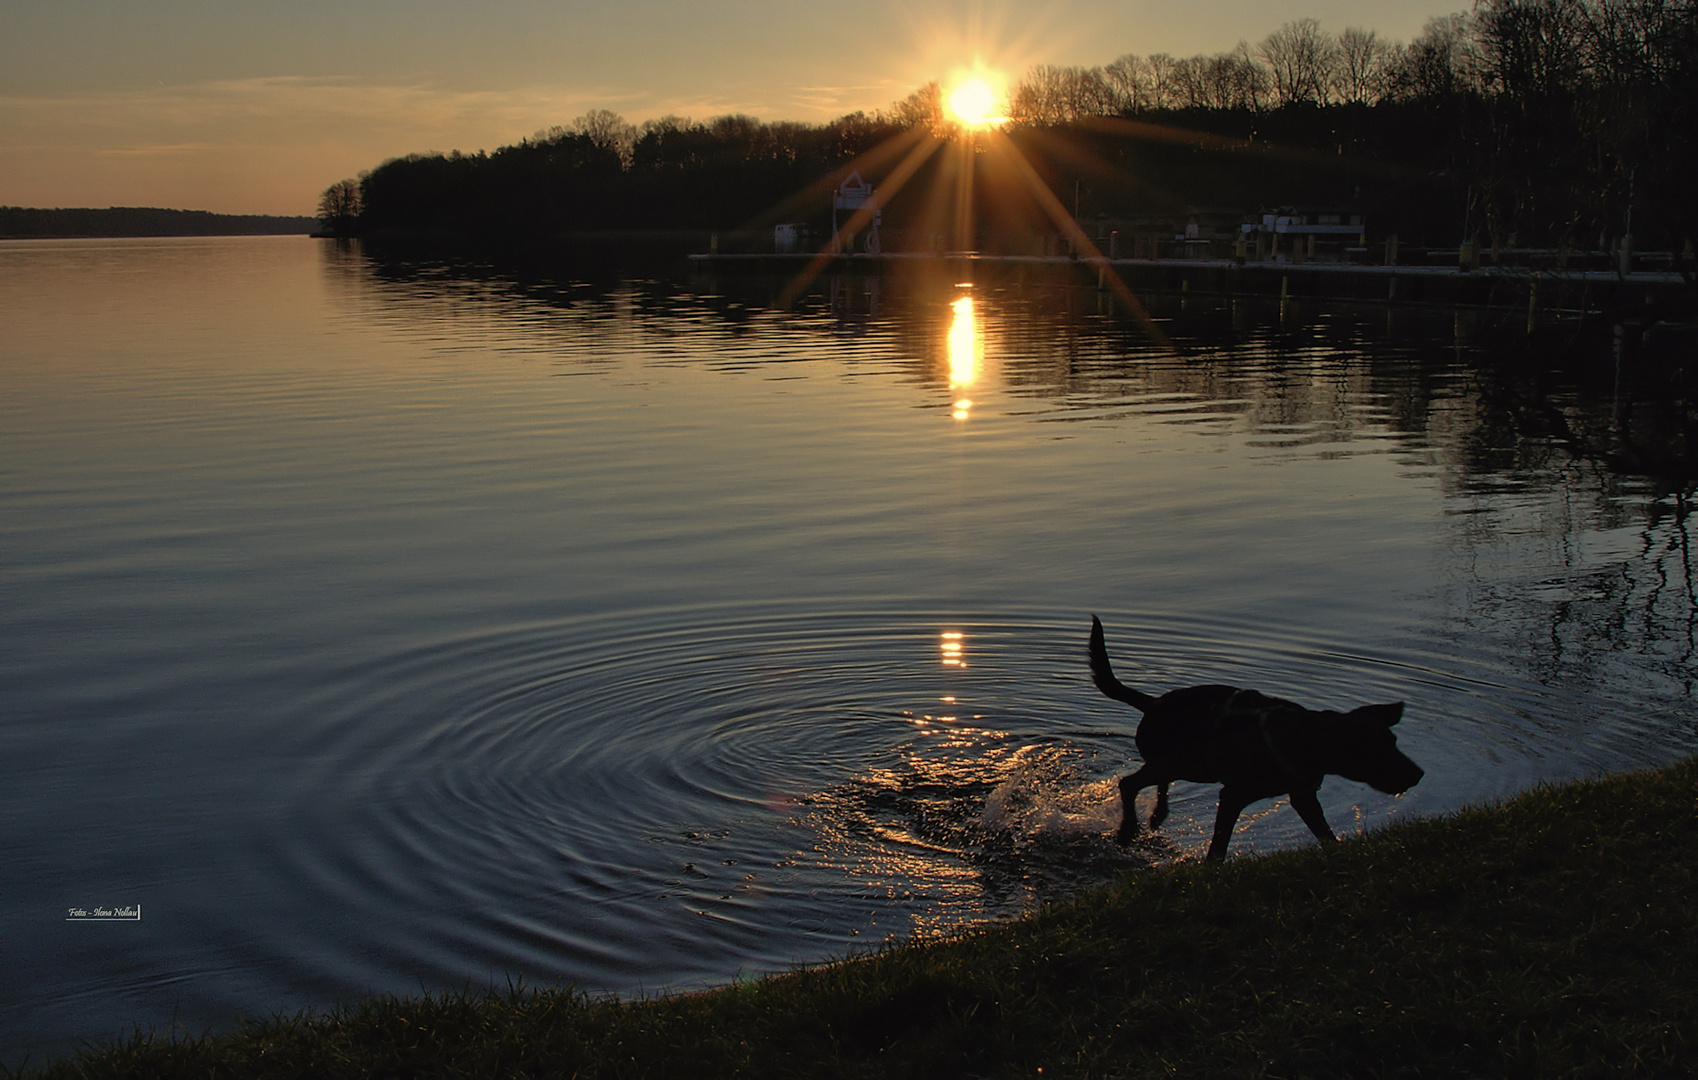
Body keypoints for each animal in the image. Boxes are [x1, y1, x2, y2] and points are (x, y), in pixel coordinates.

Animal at [1086, 614, 1419, 859]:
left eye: (1394, 743)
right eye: (1375, 749)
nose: (1419, 774)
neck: (1306, 736)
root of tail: (1152, 703)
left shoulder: (1303, 796)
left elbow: (1325, 834)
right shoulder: (1233, 795)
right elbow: (1218, 848)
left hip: (1190, 764)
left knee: (1157, 780)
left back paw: (1157, 815)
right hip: (1187, 762)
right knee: (1130, 783)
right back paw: (1128, 830)